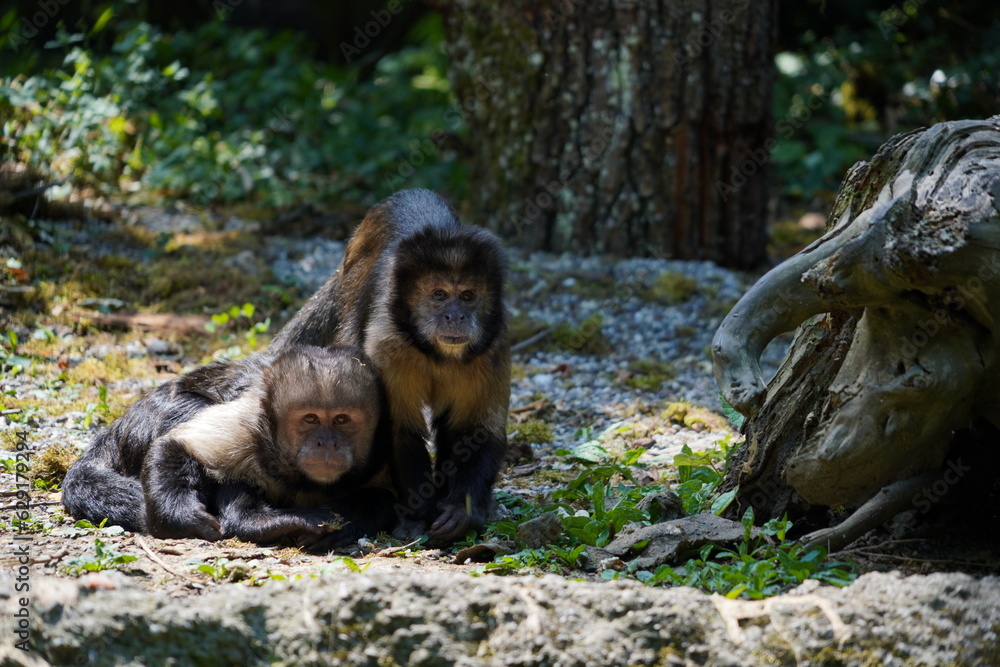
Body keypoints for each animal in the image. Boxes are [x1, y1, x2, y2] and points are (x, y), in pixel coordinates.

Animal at [61, 345, 395, 548]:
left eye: (342, 420)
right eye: (311, 419)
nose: (326, 443)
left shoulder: (384, 450)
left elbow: (386, 499)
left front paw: (343, 523)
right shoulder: (249, 422)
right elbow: (174, 446)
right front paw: (182, 517)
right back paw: (257, 522)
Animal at [271, 189, 510, 544]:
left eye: (468, 296)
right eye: (439, 295)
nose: (455, 316)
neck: (433, 352)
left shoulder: (493, 344)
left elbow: (480, 432)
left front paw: (462, 510)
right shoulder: (386, 339)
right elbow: (397, 431)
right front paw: (416, 518)